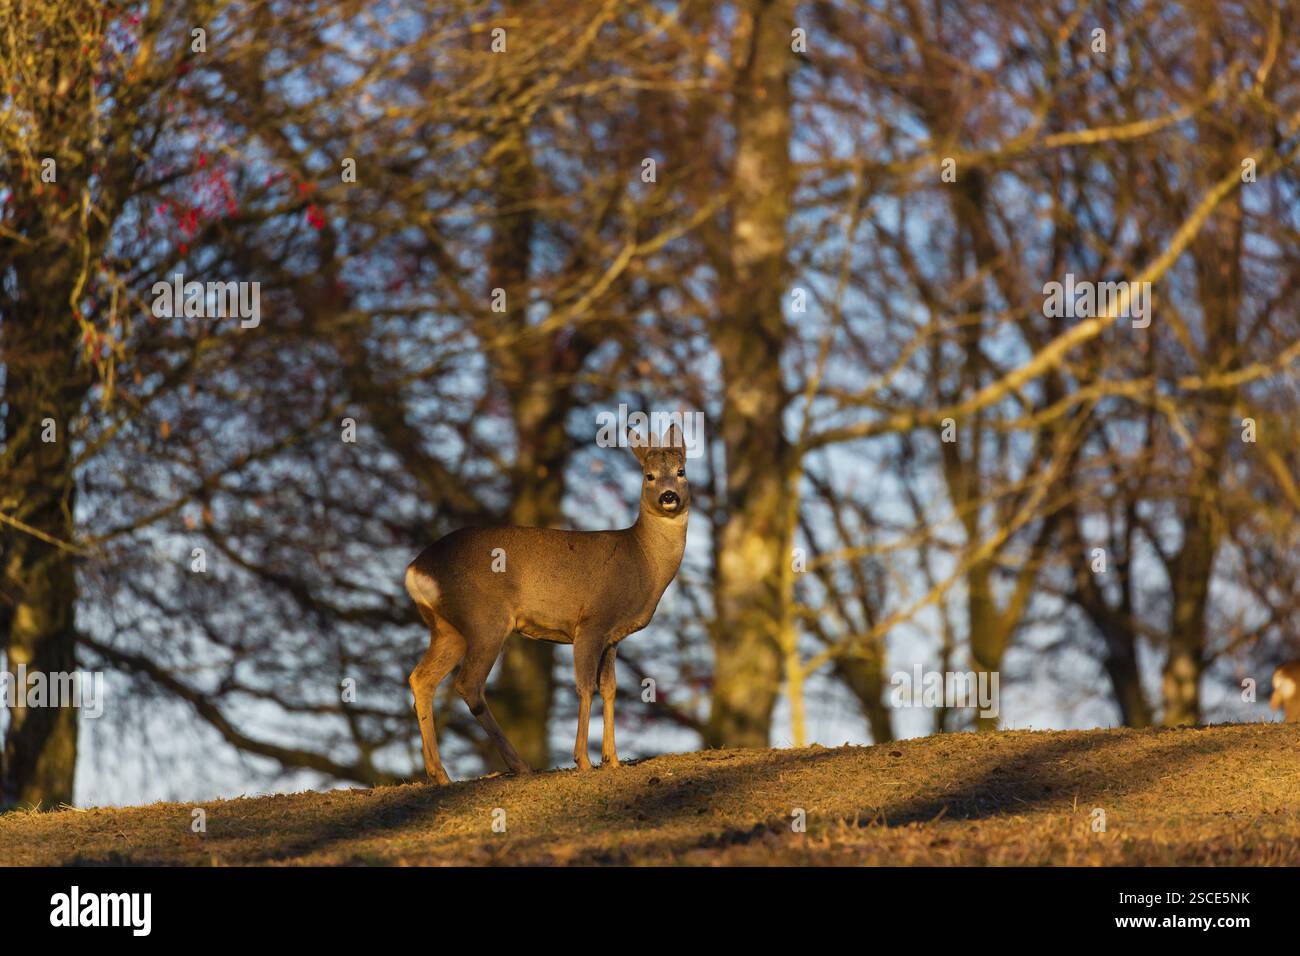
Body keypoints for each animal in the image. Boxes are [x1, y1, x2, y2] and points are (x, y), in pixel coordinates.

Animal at [403, 424, 690, 784]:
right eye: (649, 475)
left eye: (681, 471)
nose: (669, 496)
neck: (642, 559)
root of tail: (416, 570)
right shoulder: (591, 622)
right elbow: (585, 687)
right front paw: (583, 760)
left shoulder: (612, 637)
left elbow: (609, 688)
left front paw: (612, 760)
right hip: (486, 619)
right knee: (468, 684)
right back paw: (518, 765)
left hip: (447, 629)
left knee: (421, 679)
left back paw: (439, 774)